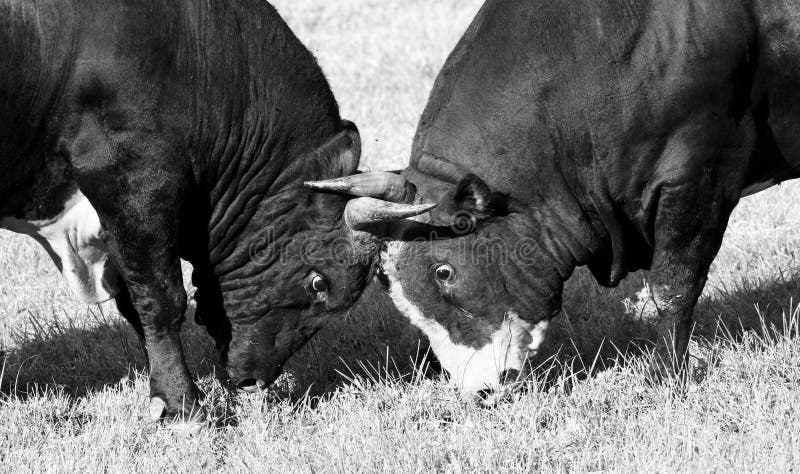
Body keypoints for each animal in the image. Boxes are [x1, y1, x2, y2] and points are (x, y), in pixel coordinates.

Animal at [0, 0, 434, 423]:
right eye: (318, 283)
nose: (255, 381)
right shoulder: (132, 179)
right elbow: (161, 299)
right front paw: (181, 403)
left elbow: (134, 303)